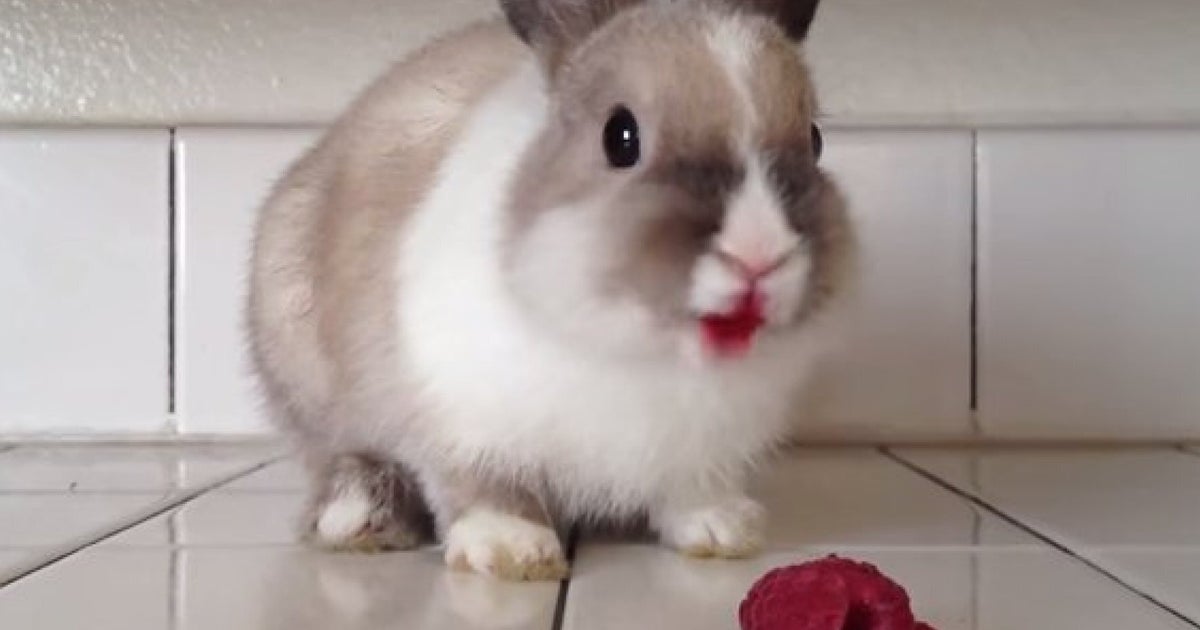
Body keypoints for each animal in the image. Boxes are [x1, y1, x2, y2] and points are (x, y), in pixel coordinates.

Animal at [245, 0, 855, 582]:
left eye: (815, 140)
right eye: (620, 137)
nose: (759, 253)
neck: (635, 351)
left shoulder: (703, 448)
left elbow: (692, 490)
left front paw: (723, 529)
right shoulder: (460, 416)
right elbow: (482, 487)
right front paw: (511, 548)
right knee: (340, 456)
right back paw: (358, 517)